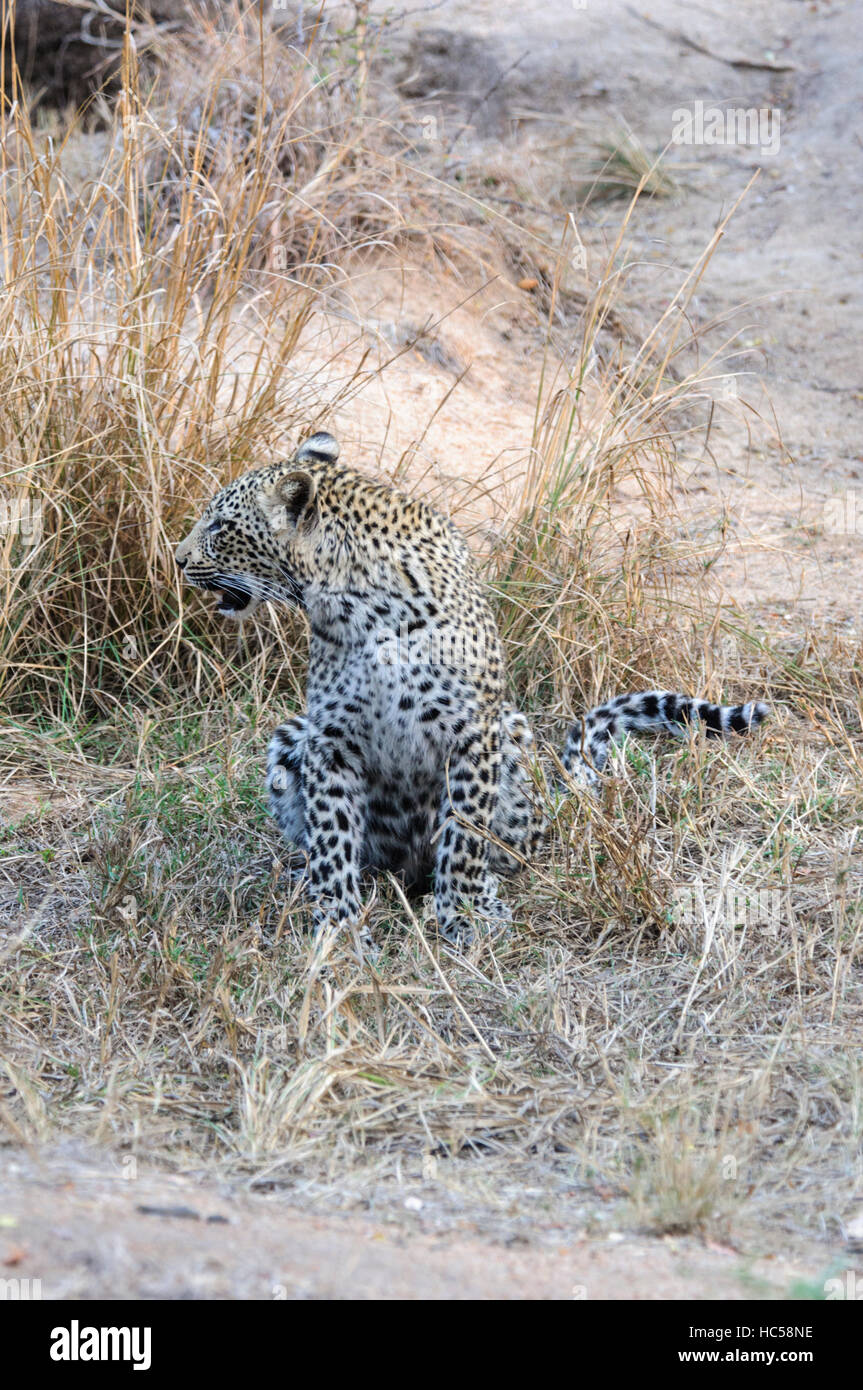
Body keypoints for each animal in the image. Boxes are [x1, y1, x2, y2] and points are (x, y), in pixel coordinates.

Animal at [175, 431, 768, 950]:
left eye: (221, 525)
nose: (178, 559)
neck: (350, 604)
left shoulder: (471, 731)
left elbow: (463, 833)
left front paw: (464, 913)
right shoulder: (330, 740)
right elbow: (332, 837)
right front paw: (339, 926)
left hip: (514, 742)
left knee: (501, 850)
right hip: (291, 738)